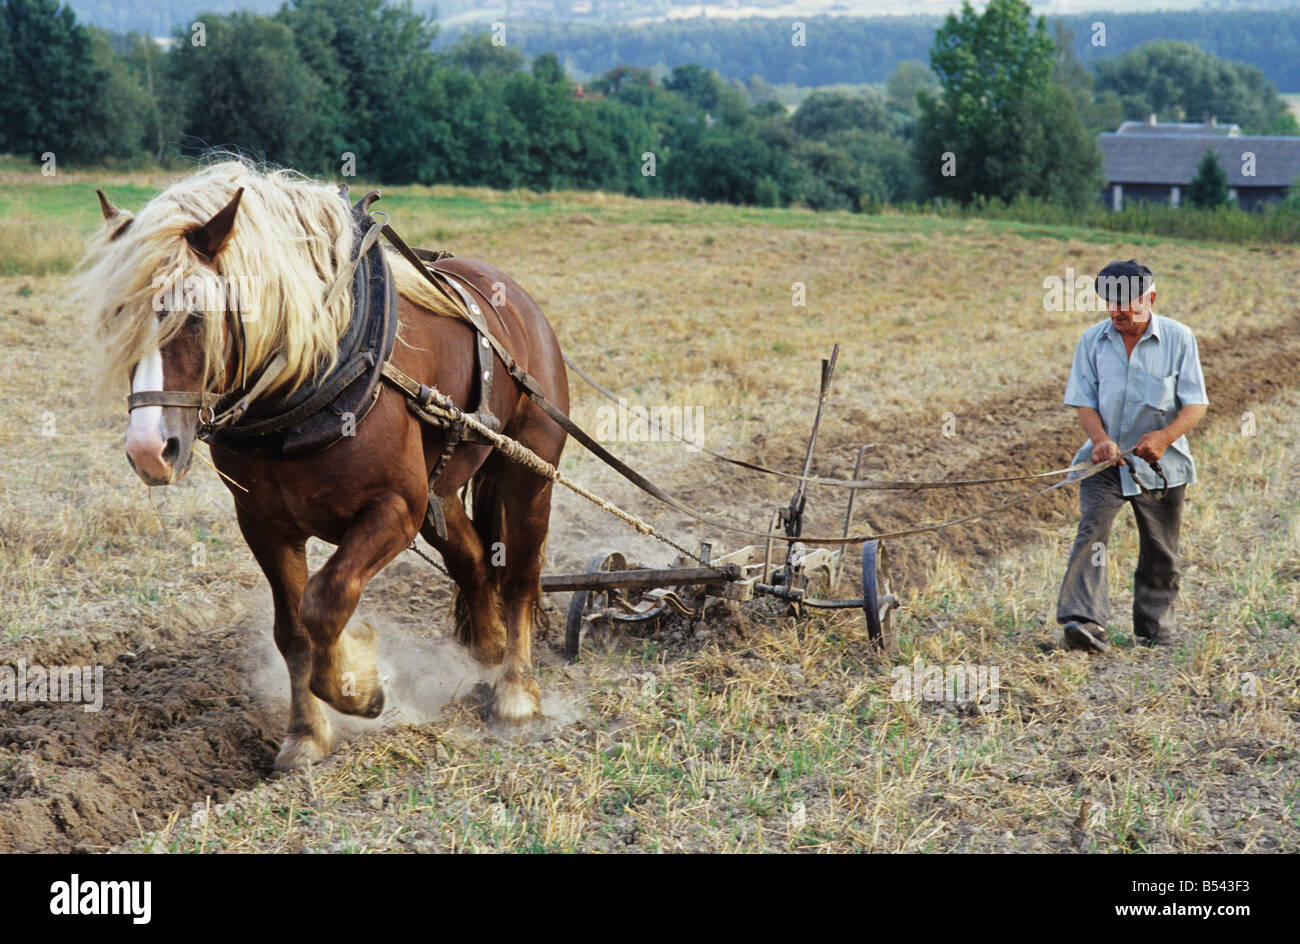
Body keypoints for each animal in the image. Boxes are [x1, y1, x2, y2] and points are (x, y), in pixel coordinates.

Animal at [77, 160, 569, 771]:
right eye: (121, 314)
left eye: (195, 314)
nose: (148, 450)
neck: (312, 379)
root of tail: (517, 302)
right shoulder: (265, 524)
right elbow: (291, 631)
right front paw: (305, 736)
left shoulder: (395, 508)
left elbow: (326, 601)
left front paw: (361, 687)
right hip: (442, 496)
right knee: (476, 563)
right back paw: (483, 654)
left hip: (529, 474)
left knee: (521, 575)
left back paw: (516, 694)